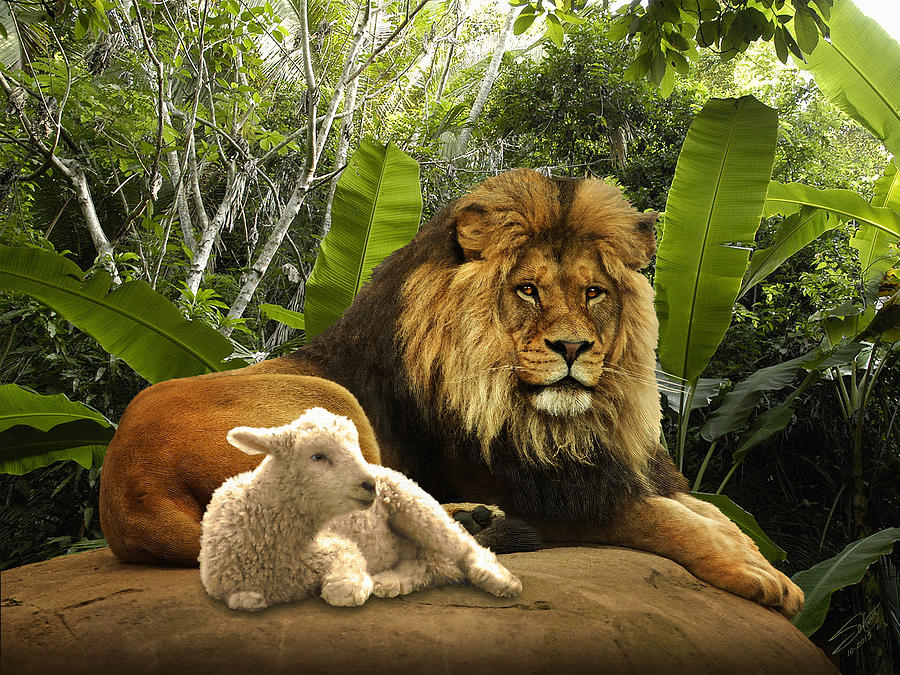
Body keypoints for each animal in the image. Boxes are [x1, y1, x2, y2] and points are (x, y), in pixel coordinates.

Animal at [99, 169, 803, 617]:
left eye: (594, 293)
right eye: (528, 291)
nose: (572, 349)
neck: (559, 422)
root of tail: (125, 489)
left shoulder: (608, 470)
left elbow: (707, 511)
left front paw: (761, 560)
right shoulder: (551, 494)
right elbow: (663, 520)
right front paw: (757, 576)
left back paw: (478, 523)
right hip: (327, 399)